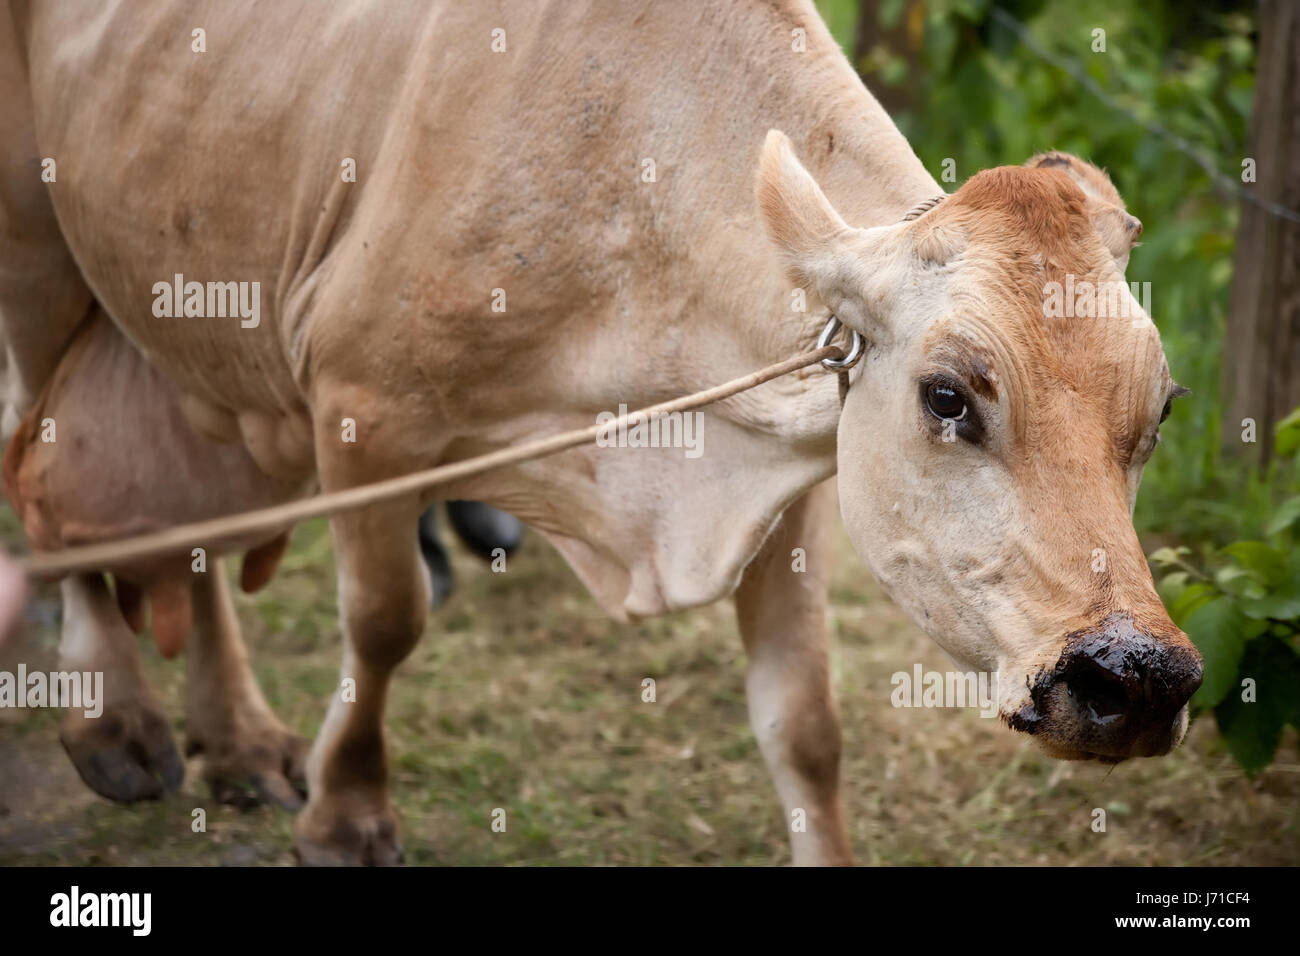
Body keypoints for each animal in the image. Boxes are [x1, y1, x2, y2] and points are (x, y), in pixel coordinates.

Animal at [0, 0, 1201, 865]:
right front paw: (346, 817)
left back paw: (238, 737)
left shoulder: (792, 471)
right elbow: (384, 620)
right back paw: (114, 722)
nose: (1136, 676)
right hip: (37, 250)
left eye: (1161, 410)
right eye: (947, 395)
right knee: (35, 474)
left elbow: (804, 721)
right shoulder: (362, 406)